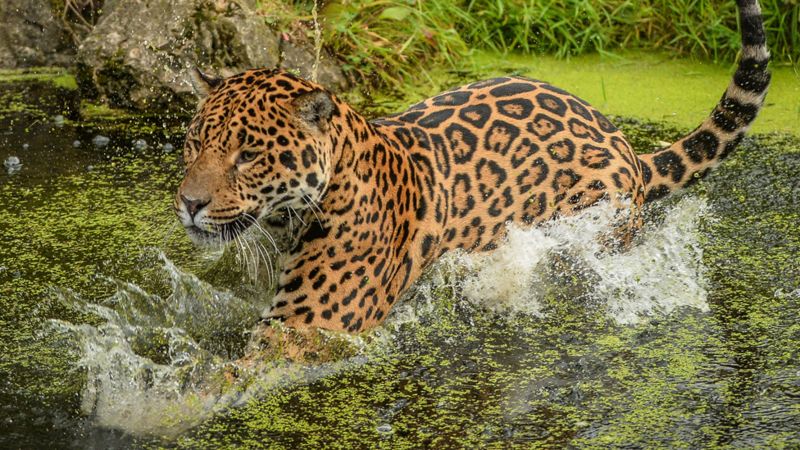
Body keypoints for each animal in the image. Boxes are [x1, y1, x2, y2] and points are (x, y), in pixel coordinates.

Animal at [175, 0, 770, 342]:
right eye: (195, 142)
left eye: (248, 154)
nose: (189, 204)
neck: (283, 225)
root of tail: (621, 139)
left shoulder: (308, 331)